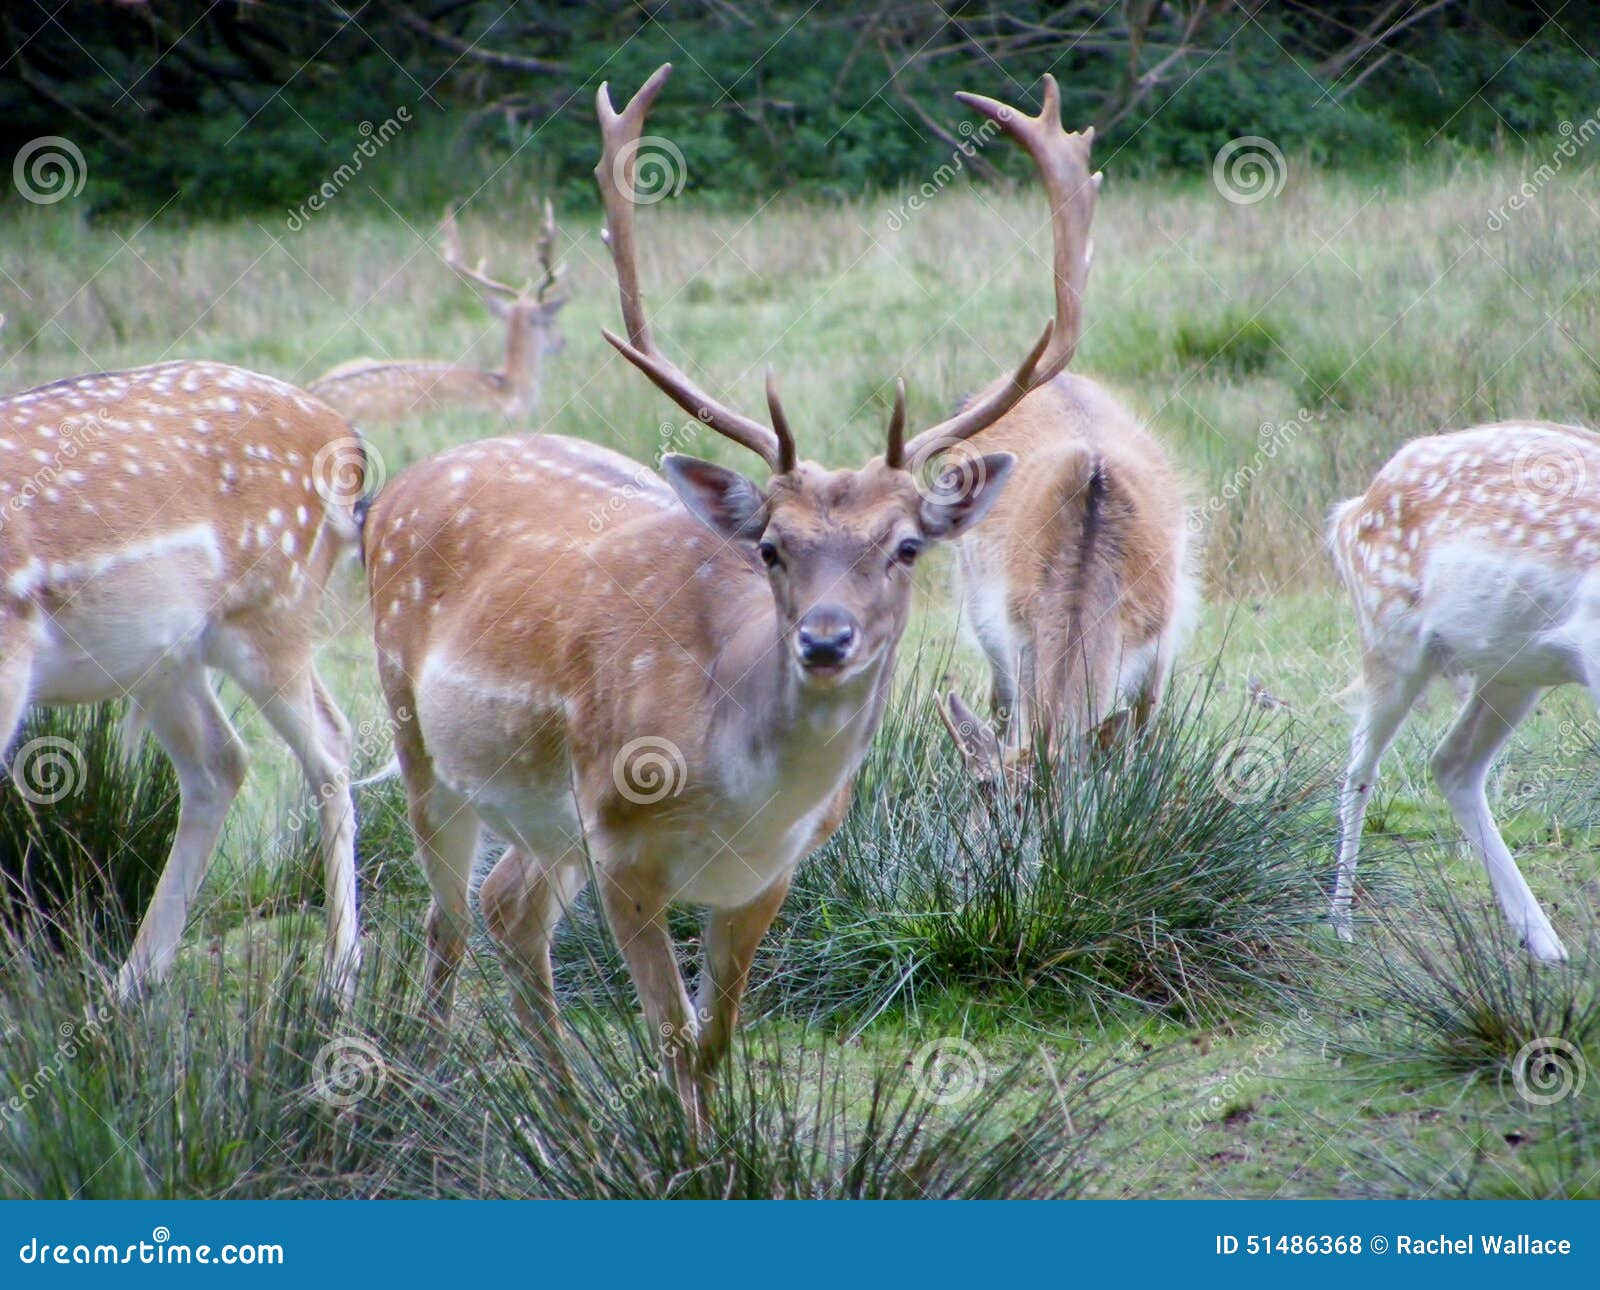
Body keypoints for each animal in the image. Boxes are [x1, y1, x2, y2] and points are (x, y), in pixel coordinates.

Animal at [0, 361, 364, 999]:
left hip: (272, 606)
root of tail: (340, 436)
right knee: (222, 761)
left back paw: (337, 983)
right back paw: (127, 987)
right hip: (167, 657)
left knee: (330, 743)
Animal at [361, 63, 1097, 1121]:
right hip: (417, 731)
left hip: (542, 814)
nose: (826, 640)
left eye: (908, 545)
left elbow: (714, 1042)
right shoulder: (618, 842)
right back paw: (426, 1088)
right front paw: (682, 1148)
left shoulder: (768, 875)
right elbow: (672, 1038)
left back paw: (568, 1114)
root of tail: (402, 486)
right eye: (773, 548)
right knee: (446, 917)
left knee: (508, 909)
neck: (743, 794)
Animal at [1328, 420, 1600, 963]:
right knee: (1360, 769)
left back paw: (1544, 941)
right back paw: (1340, 927)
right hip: (1390, 643)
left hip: (1514, 673)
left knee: (1451, 763)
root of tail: (1350, 511)